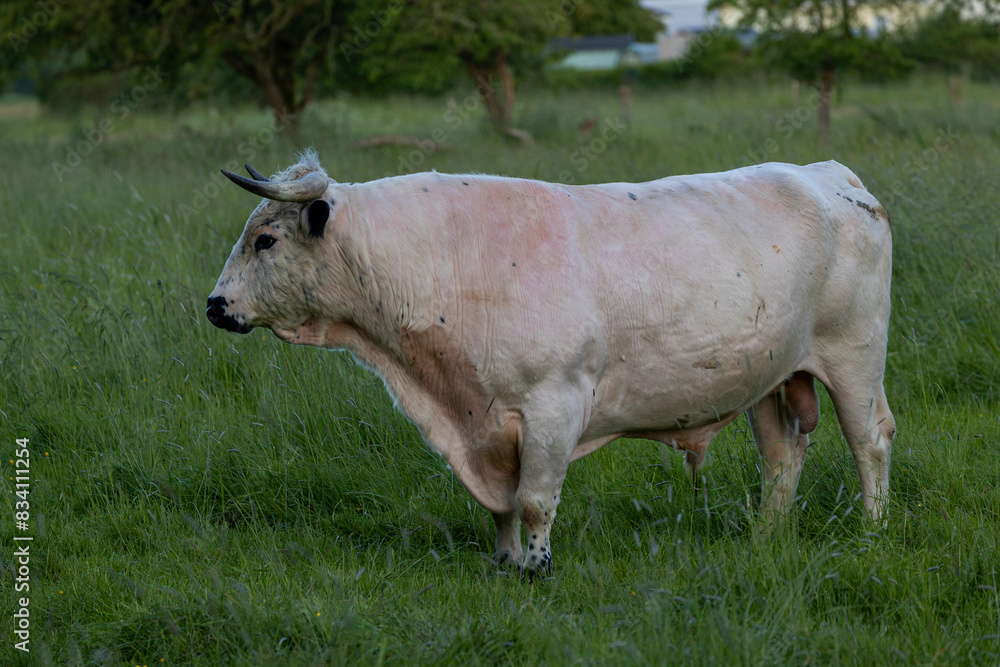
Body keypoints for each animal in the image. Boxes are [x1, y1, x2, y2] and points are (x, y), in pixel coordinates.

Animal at [207, 152, 896, 576]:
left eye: (265, 239)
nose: (214, 306)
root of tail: (829, 173)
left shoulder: (553, 404)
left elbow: (536, 499)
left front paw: (537, 568)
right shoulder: (486, 424)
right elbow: (503, 504)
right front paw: (506, 562)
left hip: (855, 355)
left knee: (870, 441)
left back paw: (872, 530)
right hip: (773, 378)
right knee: (782, 456)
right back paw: (764, 539)